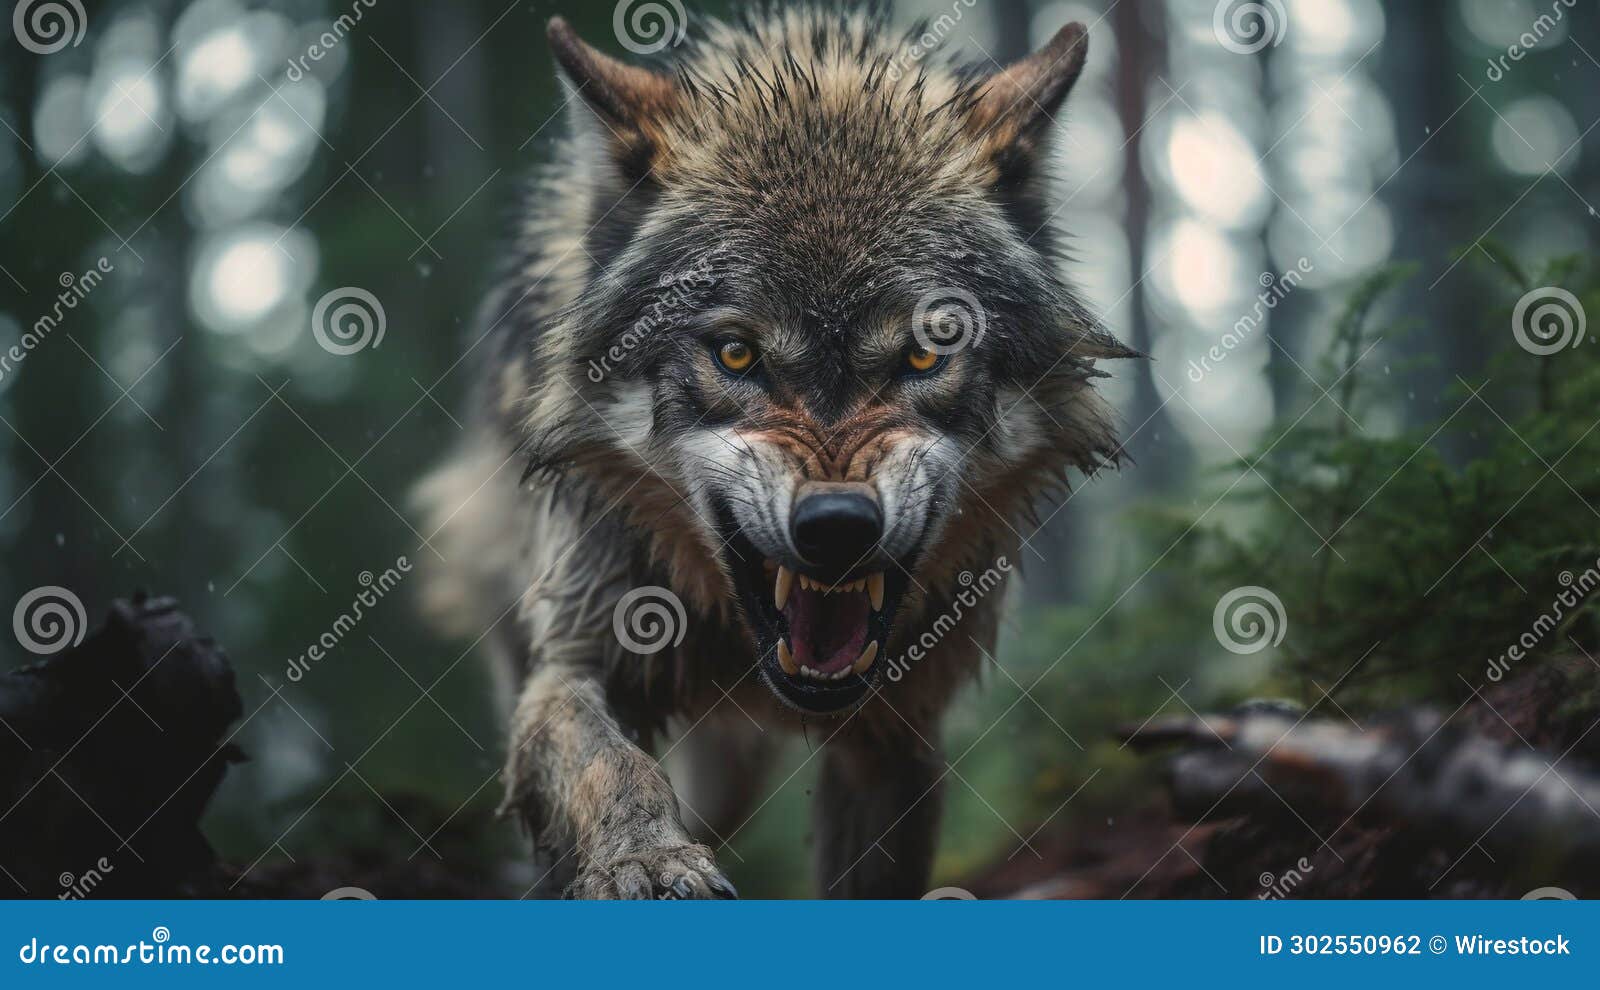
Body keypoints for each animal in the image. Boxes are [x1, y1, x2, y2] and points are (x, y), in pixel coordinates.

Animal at [414, 2, 1134, 899]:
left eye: (925, 354)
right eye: (735, 354)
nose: (837, 526)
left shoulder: (897, 735)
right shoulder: (572, 657)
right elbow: (609, 765)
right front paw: (645, 857)